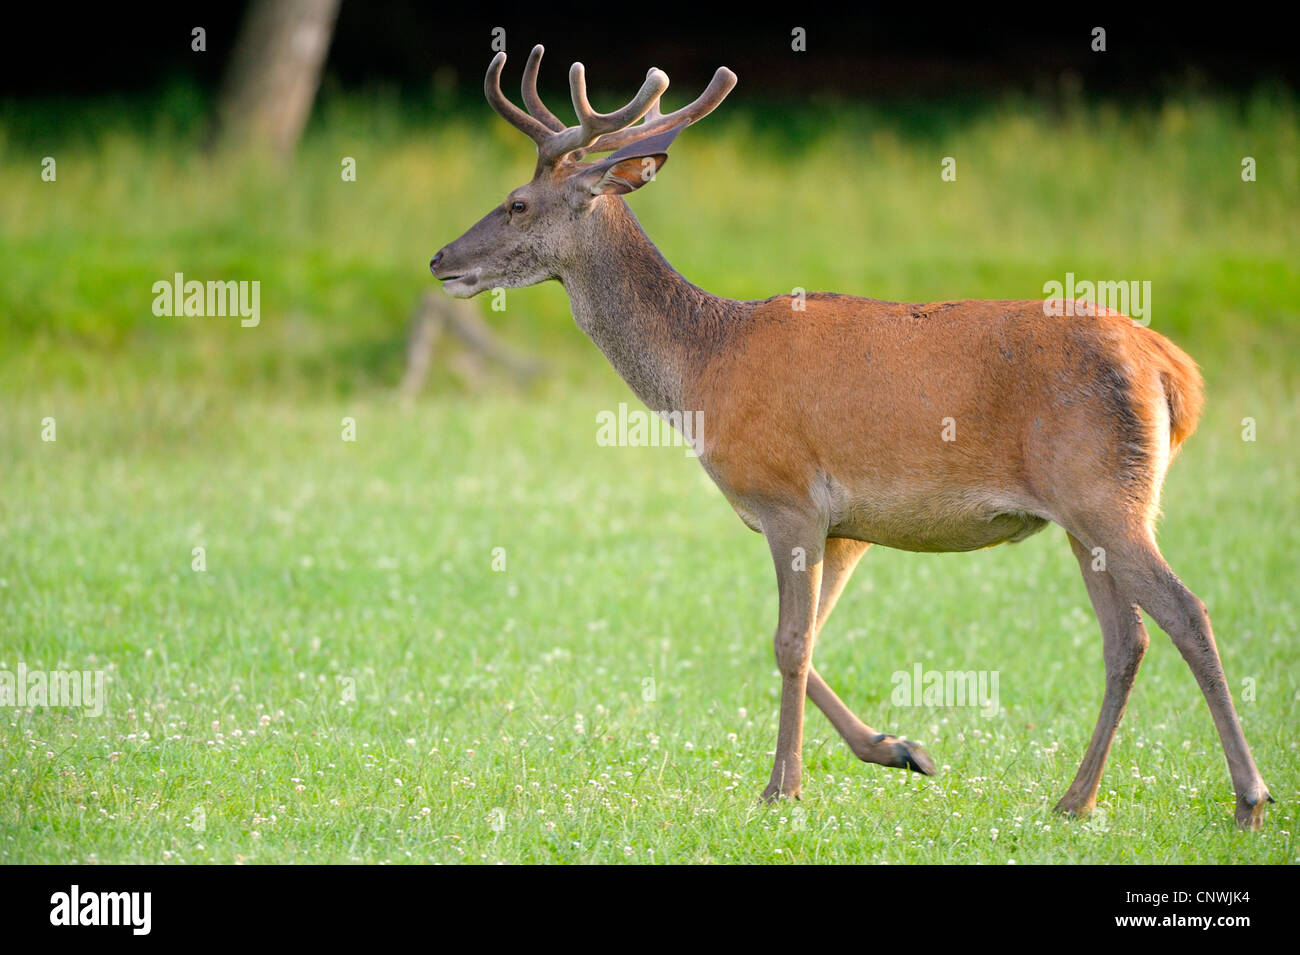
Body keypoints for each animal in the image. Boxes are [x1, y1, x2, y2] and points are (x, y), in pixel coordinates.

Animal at [429, 45, 1272, 829]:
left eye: (517, 203)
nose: (440, 258)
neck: (701, 371)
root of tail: (1173, 370)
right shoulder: (848, 526)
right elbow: (806, 638)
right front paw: (902, 749)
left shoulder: (787, 497)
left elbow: (788, 642)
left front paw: (782, 786)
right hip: (1084, 514)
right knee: (1126, 638)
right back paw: (1076, 797)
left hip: (1104, 493)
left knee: (1187, 613)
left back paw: (1248, 796)